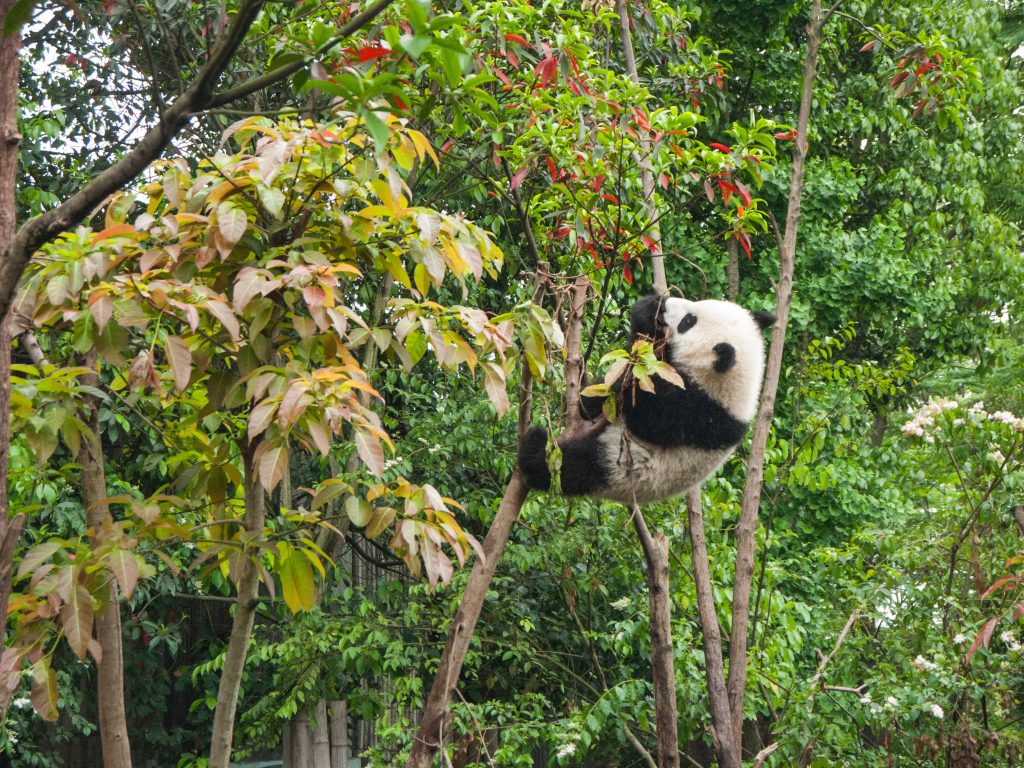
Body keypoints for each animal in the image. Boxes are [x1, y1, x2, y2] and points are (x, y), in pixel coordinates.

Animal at [517, 296, 775, 505]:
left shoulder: (699, 412)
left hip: (620, 468)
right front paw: (648, 309)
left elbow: (646, 415)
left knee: (572, 467)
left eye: (688, 321)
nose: (667, 303)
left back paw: (534, 449)